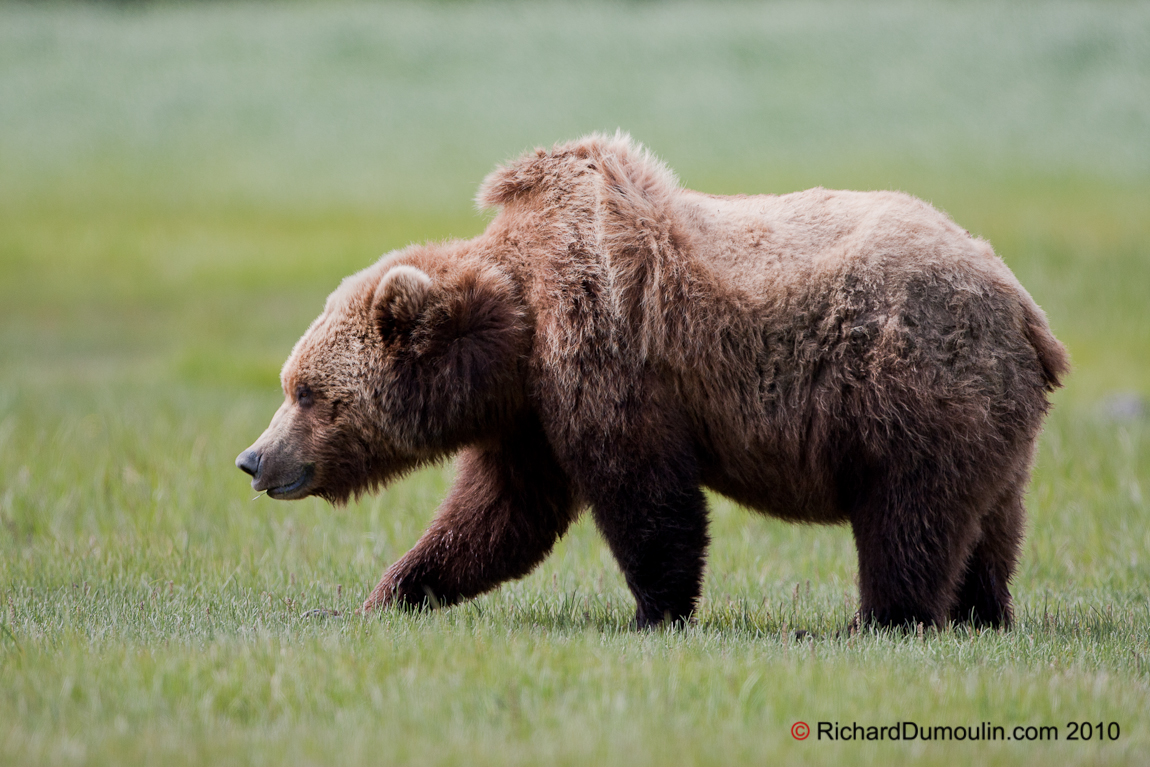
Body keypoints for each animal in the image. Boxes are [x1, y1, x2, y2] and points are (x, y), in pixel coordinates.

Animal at [236, 133, 1068, 630]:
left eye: (307, 391)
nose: (254, 458)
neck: (519, 326)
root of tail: (1024, 304)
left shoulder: (603, 349)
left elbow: (646, 496)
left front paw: (656, 611)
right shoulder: (530, 414)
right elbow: (500, 515)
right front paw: (398, 589)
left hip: (913, 378)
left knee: (909, 515)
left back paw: (881, 618)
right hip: (993, 419)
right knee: (989, 521)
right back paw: (981, 611)